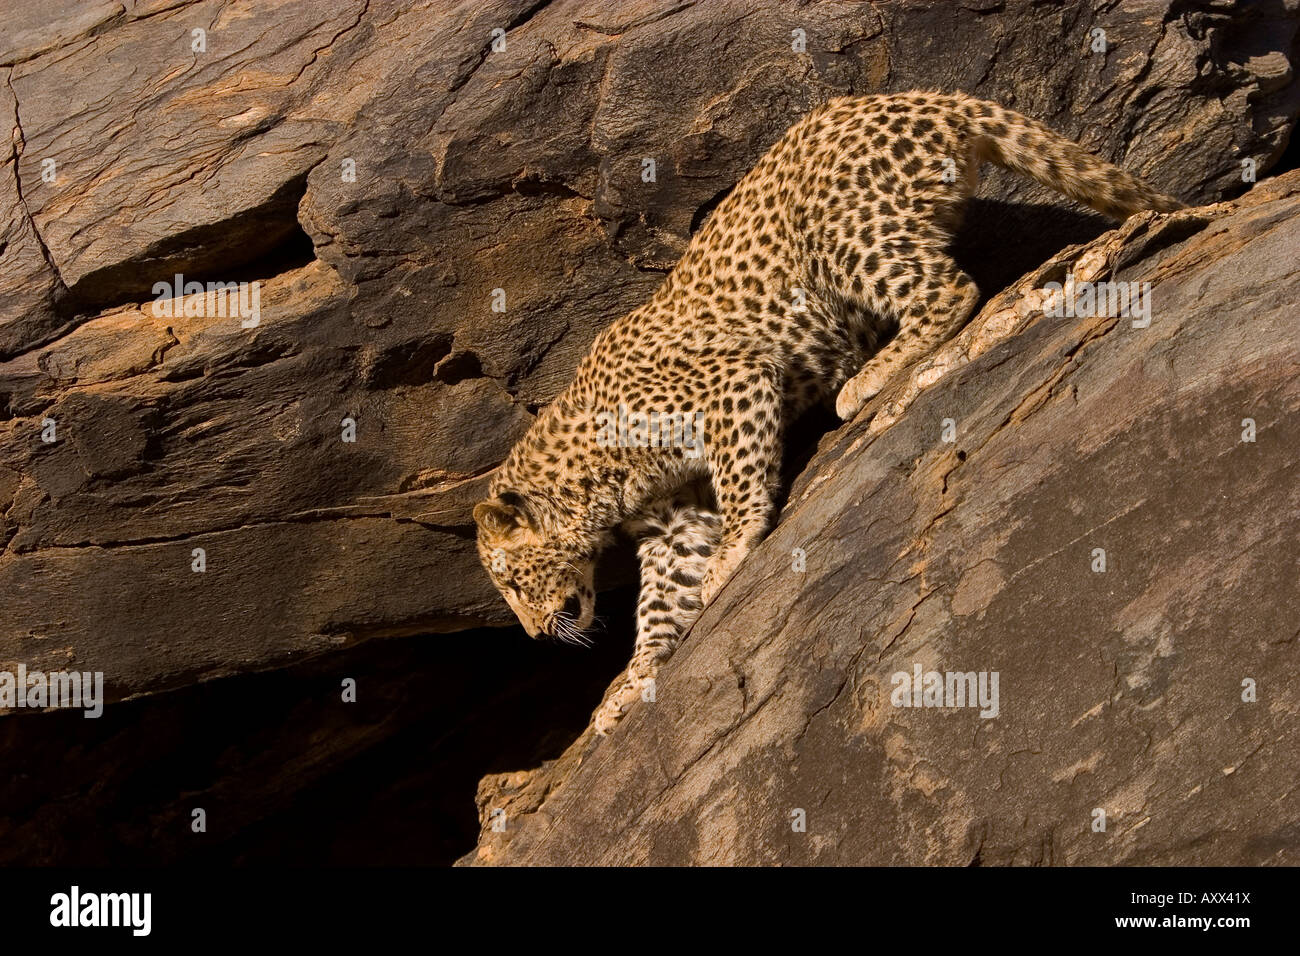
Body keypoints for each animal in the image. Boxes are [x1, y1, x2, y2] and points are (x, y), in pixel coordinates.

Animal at [473, 90, 1181, 730]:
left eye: (511, 582)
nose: (535, 635)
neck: (592, 483)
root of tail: (925, 97)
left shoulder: (731, 385)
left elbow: (740, 486)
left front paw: (734, 552)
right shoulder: (673, 516)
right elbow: (661, 599)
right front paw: (631, 678)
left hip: (838, 235)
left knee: (951, 289)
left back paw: (869, 378)